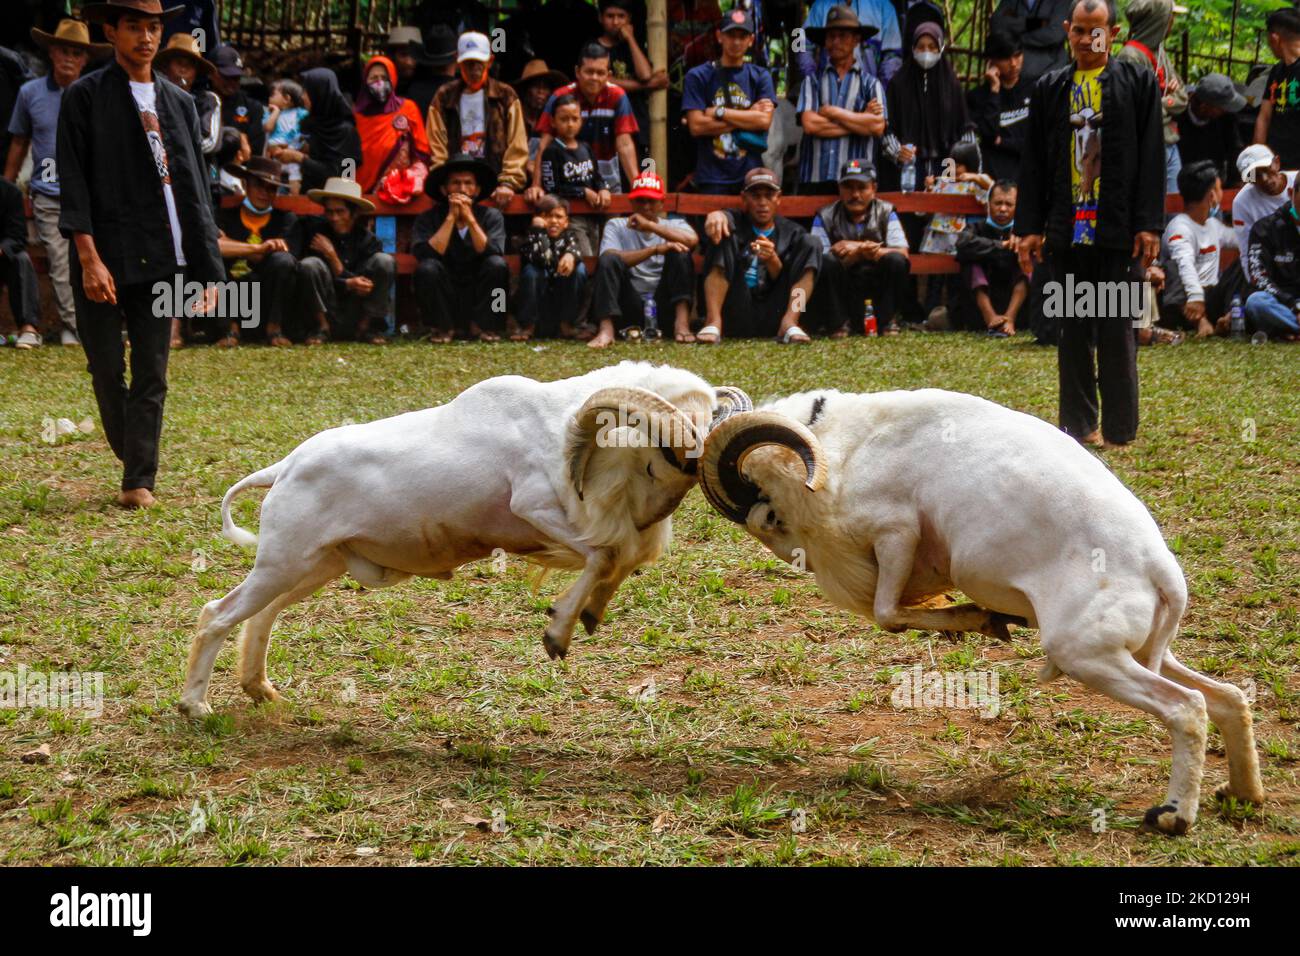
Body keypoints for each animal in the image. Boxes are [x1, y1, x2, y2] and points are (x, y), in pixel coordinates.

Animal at [179, 362, 751, 718]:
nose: (658, 513)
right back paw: (196, 706)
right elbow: (601, 554)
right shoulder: (536, 507)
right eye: (662, 455)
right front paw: (558, 633)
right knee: (216, 614)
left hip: (314, 566)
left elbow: (612, 560)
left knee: (261, 617)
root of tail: (284, 468)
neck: (559, 422)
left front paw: (587, 615)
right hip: (281, 562)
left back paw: (261, 690)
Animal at [696, 387, 1264, 835]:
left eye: (765, 507)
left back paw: (1173, 816)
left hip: (1089, 656)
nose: (774, 531)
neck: (844, 443)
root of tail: (1161, 572)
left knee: (1187, 707)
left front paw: (982, 619)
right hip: (1142, 652)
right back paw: (1242, 795)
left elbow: (886, 611)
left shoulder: (896, 533)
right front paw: (988, 620)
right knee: (1229, 698)